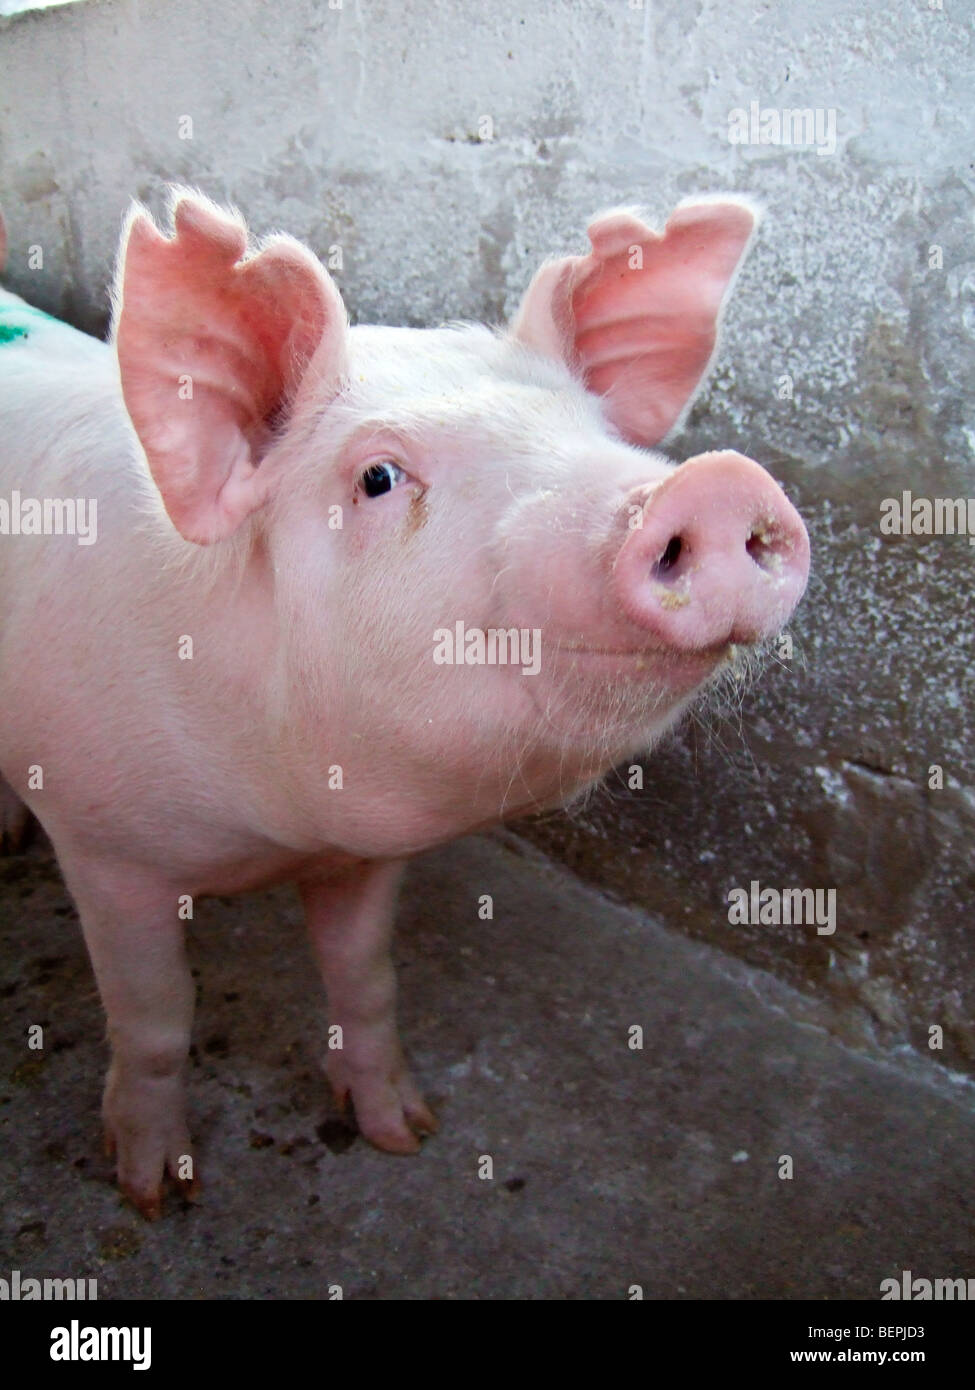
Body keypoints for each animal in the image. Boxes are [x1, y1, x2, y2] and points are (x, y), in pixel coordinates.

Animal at [0, 189, 809, 1218]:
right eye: (378, 478)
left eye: (603, 435)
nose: (713, 483)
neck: (273, 831)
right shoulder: (105, 844)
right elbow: (153, 1016)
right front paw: (155, 1191)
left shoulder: (360, 857)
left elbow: (366, 977)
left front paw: (403, 1132)